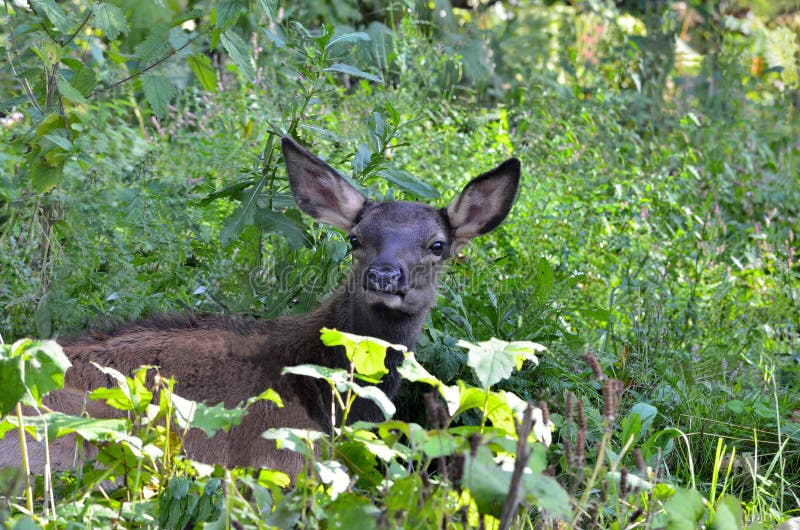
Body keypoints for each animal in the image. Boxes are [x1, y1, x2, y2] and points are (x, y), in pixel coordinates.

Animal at [0, 137, 520, 477]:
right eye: (356, 238)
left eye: (437, 245)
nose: (385, 276)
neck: (328, 400)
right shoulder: (283, 454)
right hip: (73, 430)